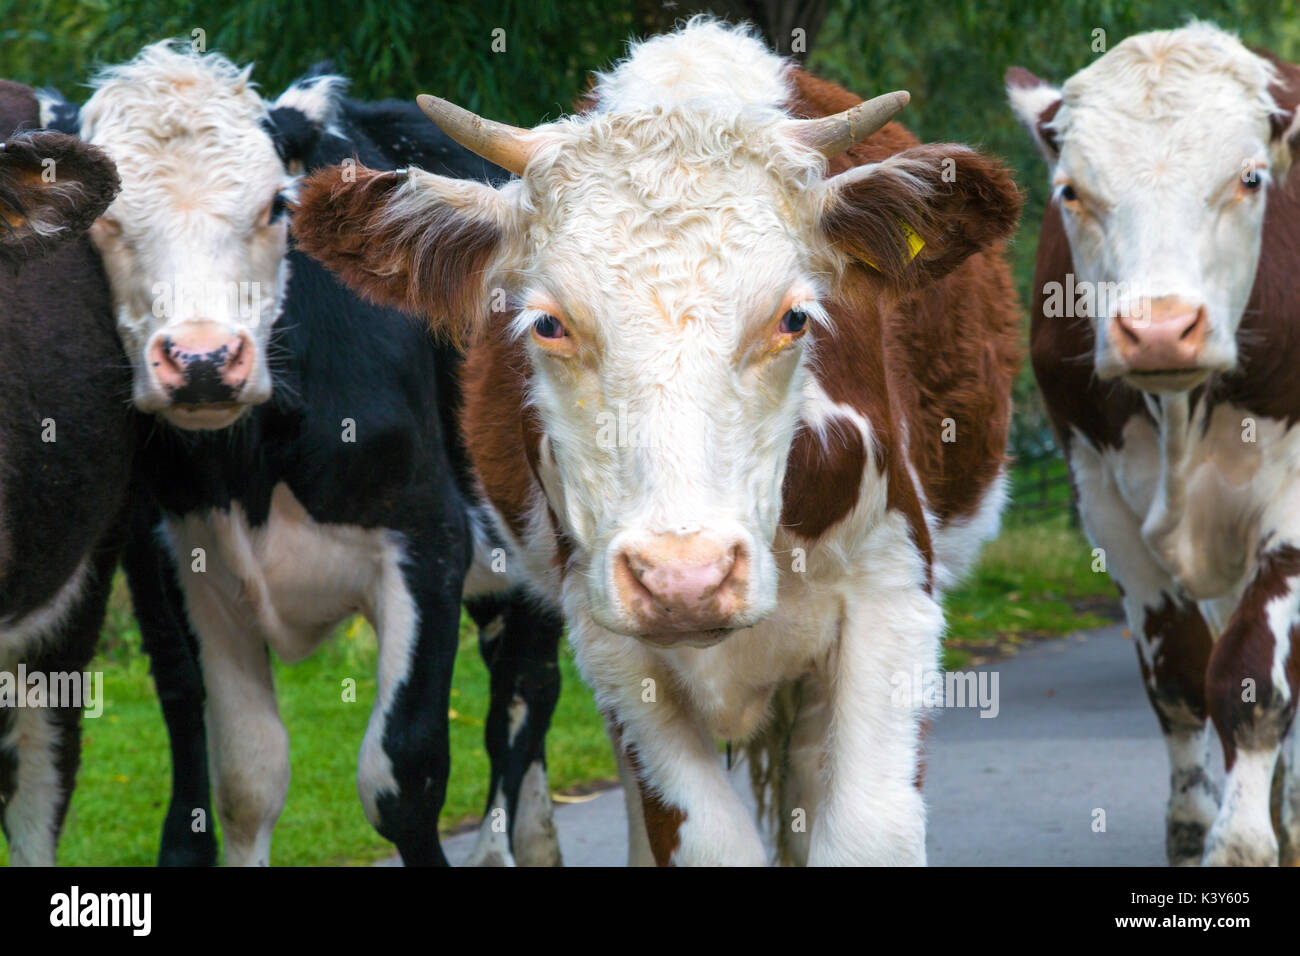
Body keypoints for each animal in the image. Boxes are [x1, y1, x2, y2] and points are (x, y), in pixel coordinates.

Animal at [77, 42, 566, 866]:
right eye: (106, 218)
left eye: (276, 205)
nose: (203, 360)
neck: (253, 465)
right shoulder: (182, 564)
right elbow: (247, 779)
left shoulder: (428, 540)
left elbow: (405, 775)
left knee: (525, 694)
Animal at [294, 18, 1022, 865]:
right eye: (548, 322)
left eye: (794, 316)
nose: (686, 578)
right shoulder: (613, 649)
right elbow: (703, 838)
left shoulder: (893, 594)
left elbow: (865, 833)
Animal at [1009, 22, 1300, 866]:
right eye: (1071, 191)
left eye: (1250, 178)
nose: (1162, 329)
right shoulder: (1103, 504)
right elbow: (1179, 678)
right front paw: (1197, 829)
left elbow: (1251, 677)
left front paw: (1244, 841)